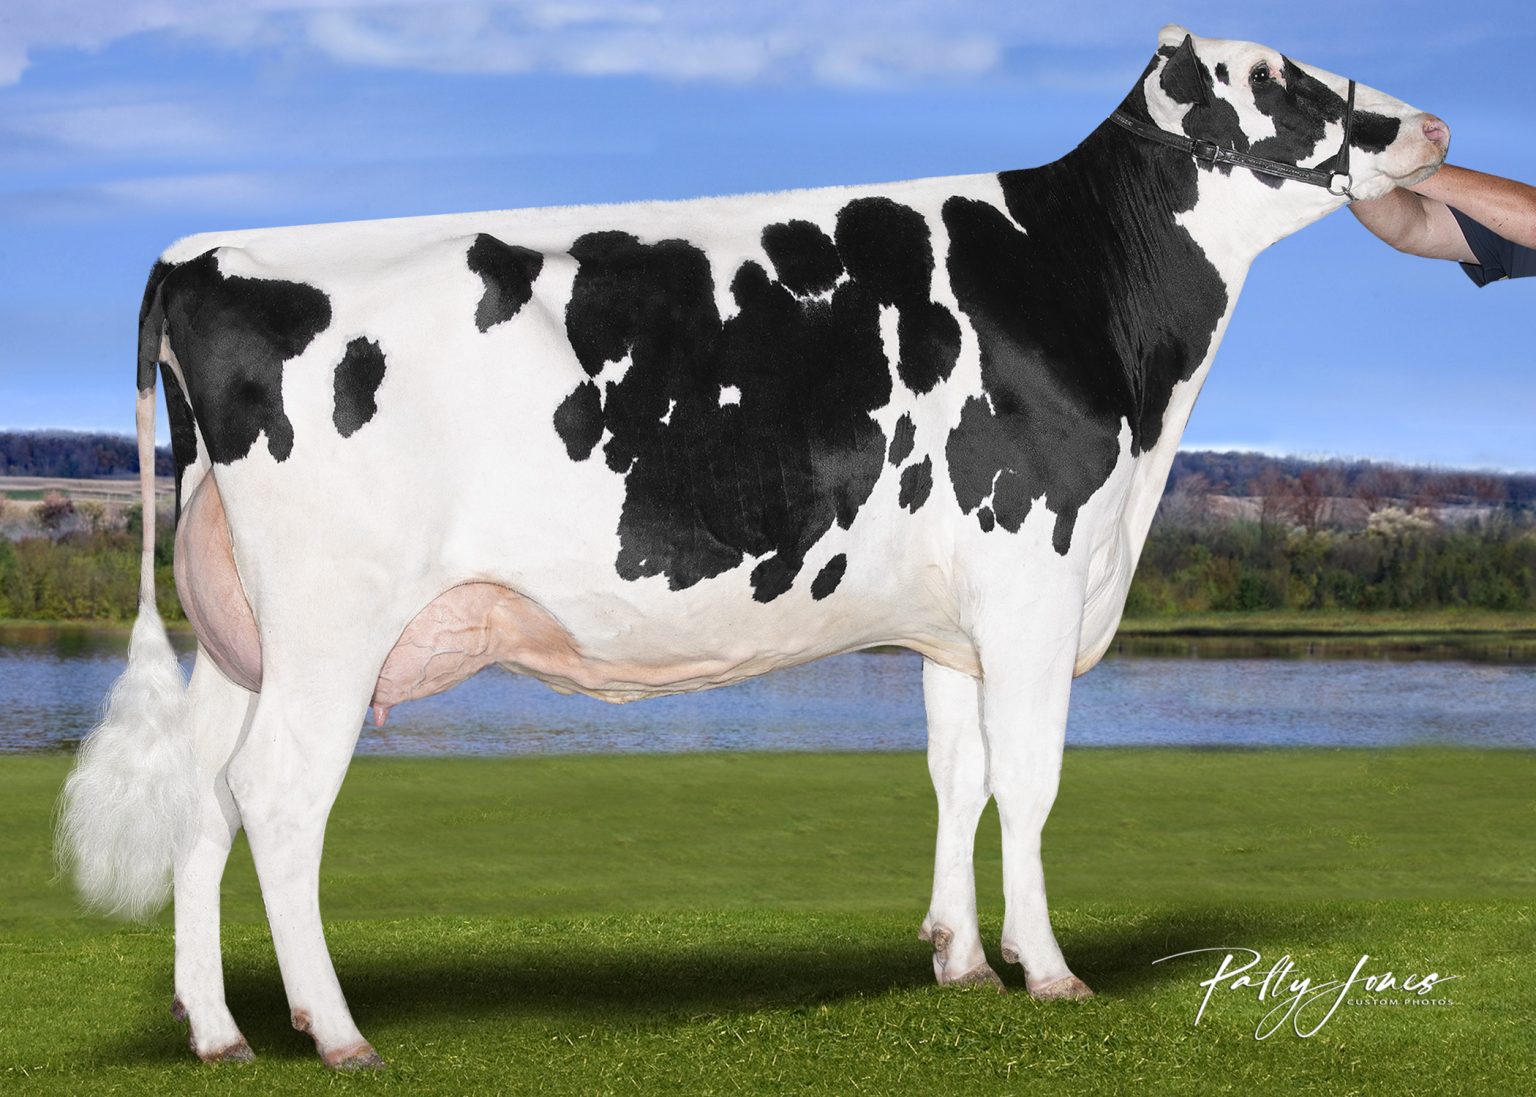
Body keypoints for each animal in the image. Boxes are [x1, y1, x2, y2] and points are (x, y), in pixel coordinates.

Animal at [58, 25, 1449, 1069]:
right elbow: (1031, 781)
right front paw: (1049, 968)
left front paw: (959, 959)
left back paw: (219, 1030)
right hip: (334, 625)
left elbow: (959, 776)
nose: (1430, 129)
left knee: (203, 791)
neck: (1086, 294)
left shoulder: (958, 617)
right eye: (1282, 76)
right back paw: (335, 1030)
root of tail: (204, 255)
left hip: (242, 636)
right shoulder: (1036, 579)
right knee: (277, 796)